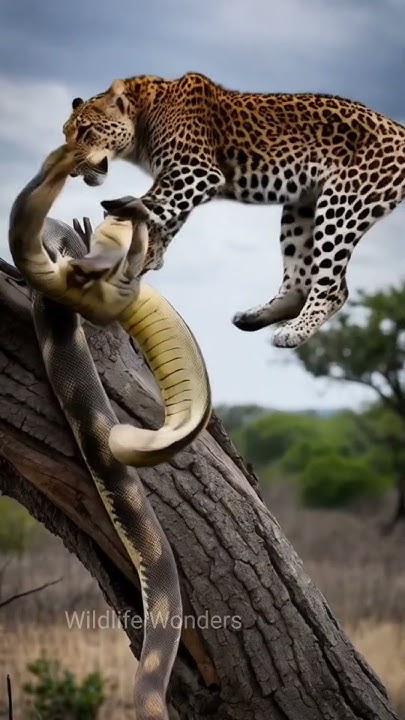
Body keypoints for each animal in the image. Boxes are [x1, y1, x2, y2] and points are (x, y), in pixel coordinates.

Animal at [62, 72, 405, 348]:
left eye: (86, 131)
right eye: (66, 132)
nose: (71, 170)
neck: (144, 118)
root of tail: (398, 128)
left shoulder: (198, 171)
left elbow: (152, 201)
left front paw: (120, 217)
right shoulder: (183, 178)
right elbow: (164, 215)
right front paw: (148, 255)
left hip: (342, 204)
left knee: (334, 287)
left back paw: (294, 332)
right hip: (303, 206)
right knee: (300, 282)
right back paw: (253, 318)